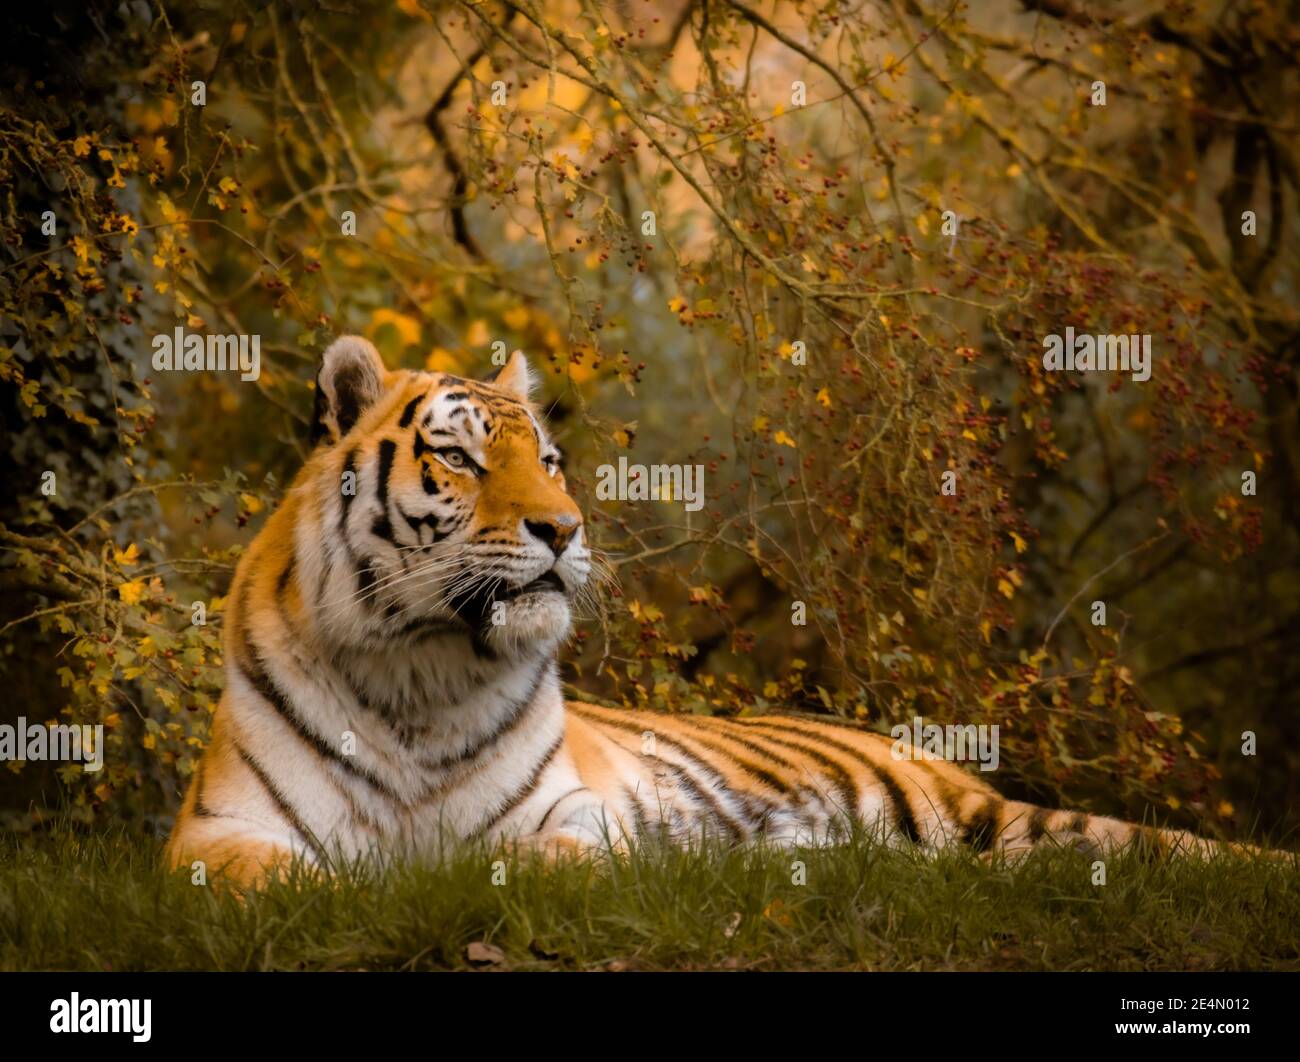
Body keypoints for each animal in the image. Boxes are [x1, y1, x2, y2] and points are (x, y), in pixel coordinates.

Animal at [166, 335, 1240, 887]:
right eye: (461, 458)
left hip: (982, 818)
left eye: (547, 459)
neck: (418, 673)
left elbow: (542, 859)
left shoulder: (577, 812)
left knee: (1151, 846)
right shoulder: (212, 834)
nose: (564, 528)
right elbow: (280, 877)